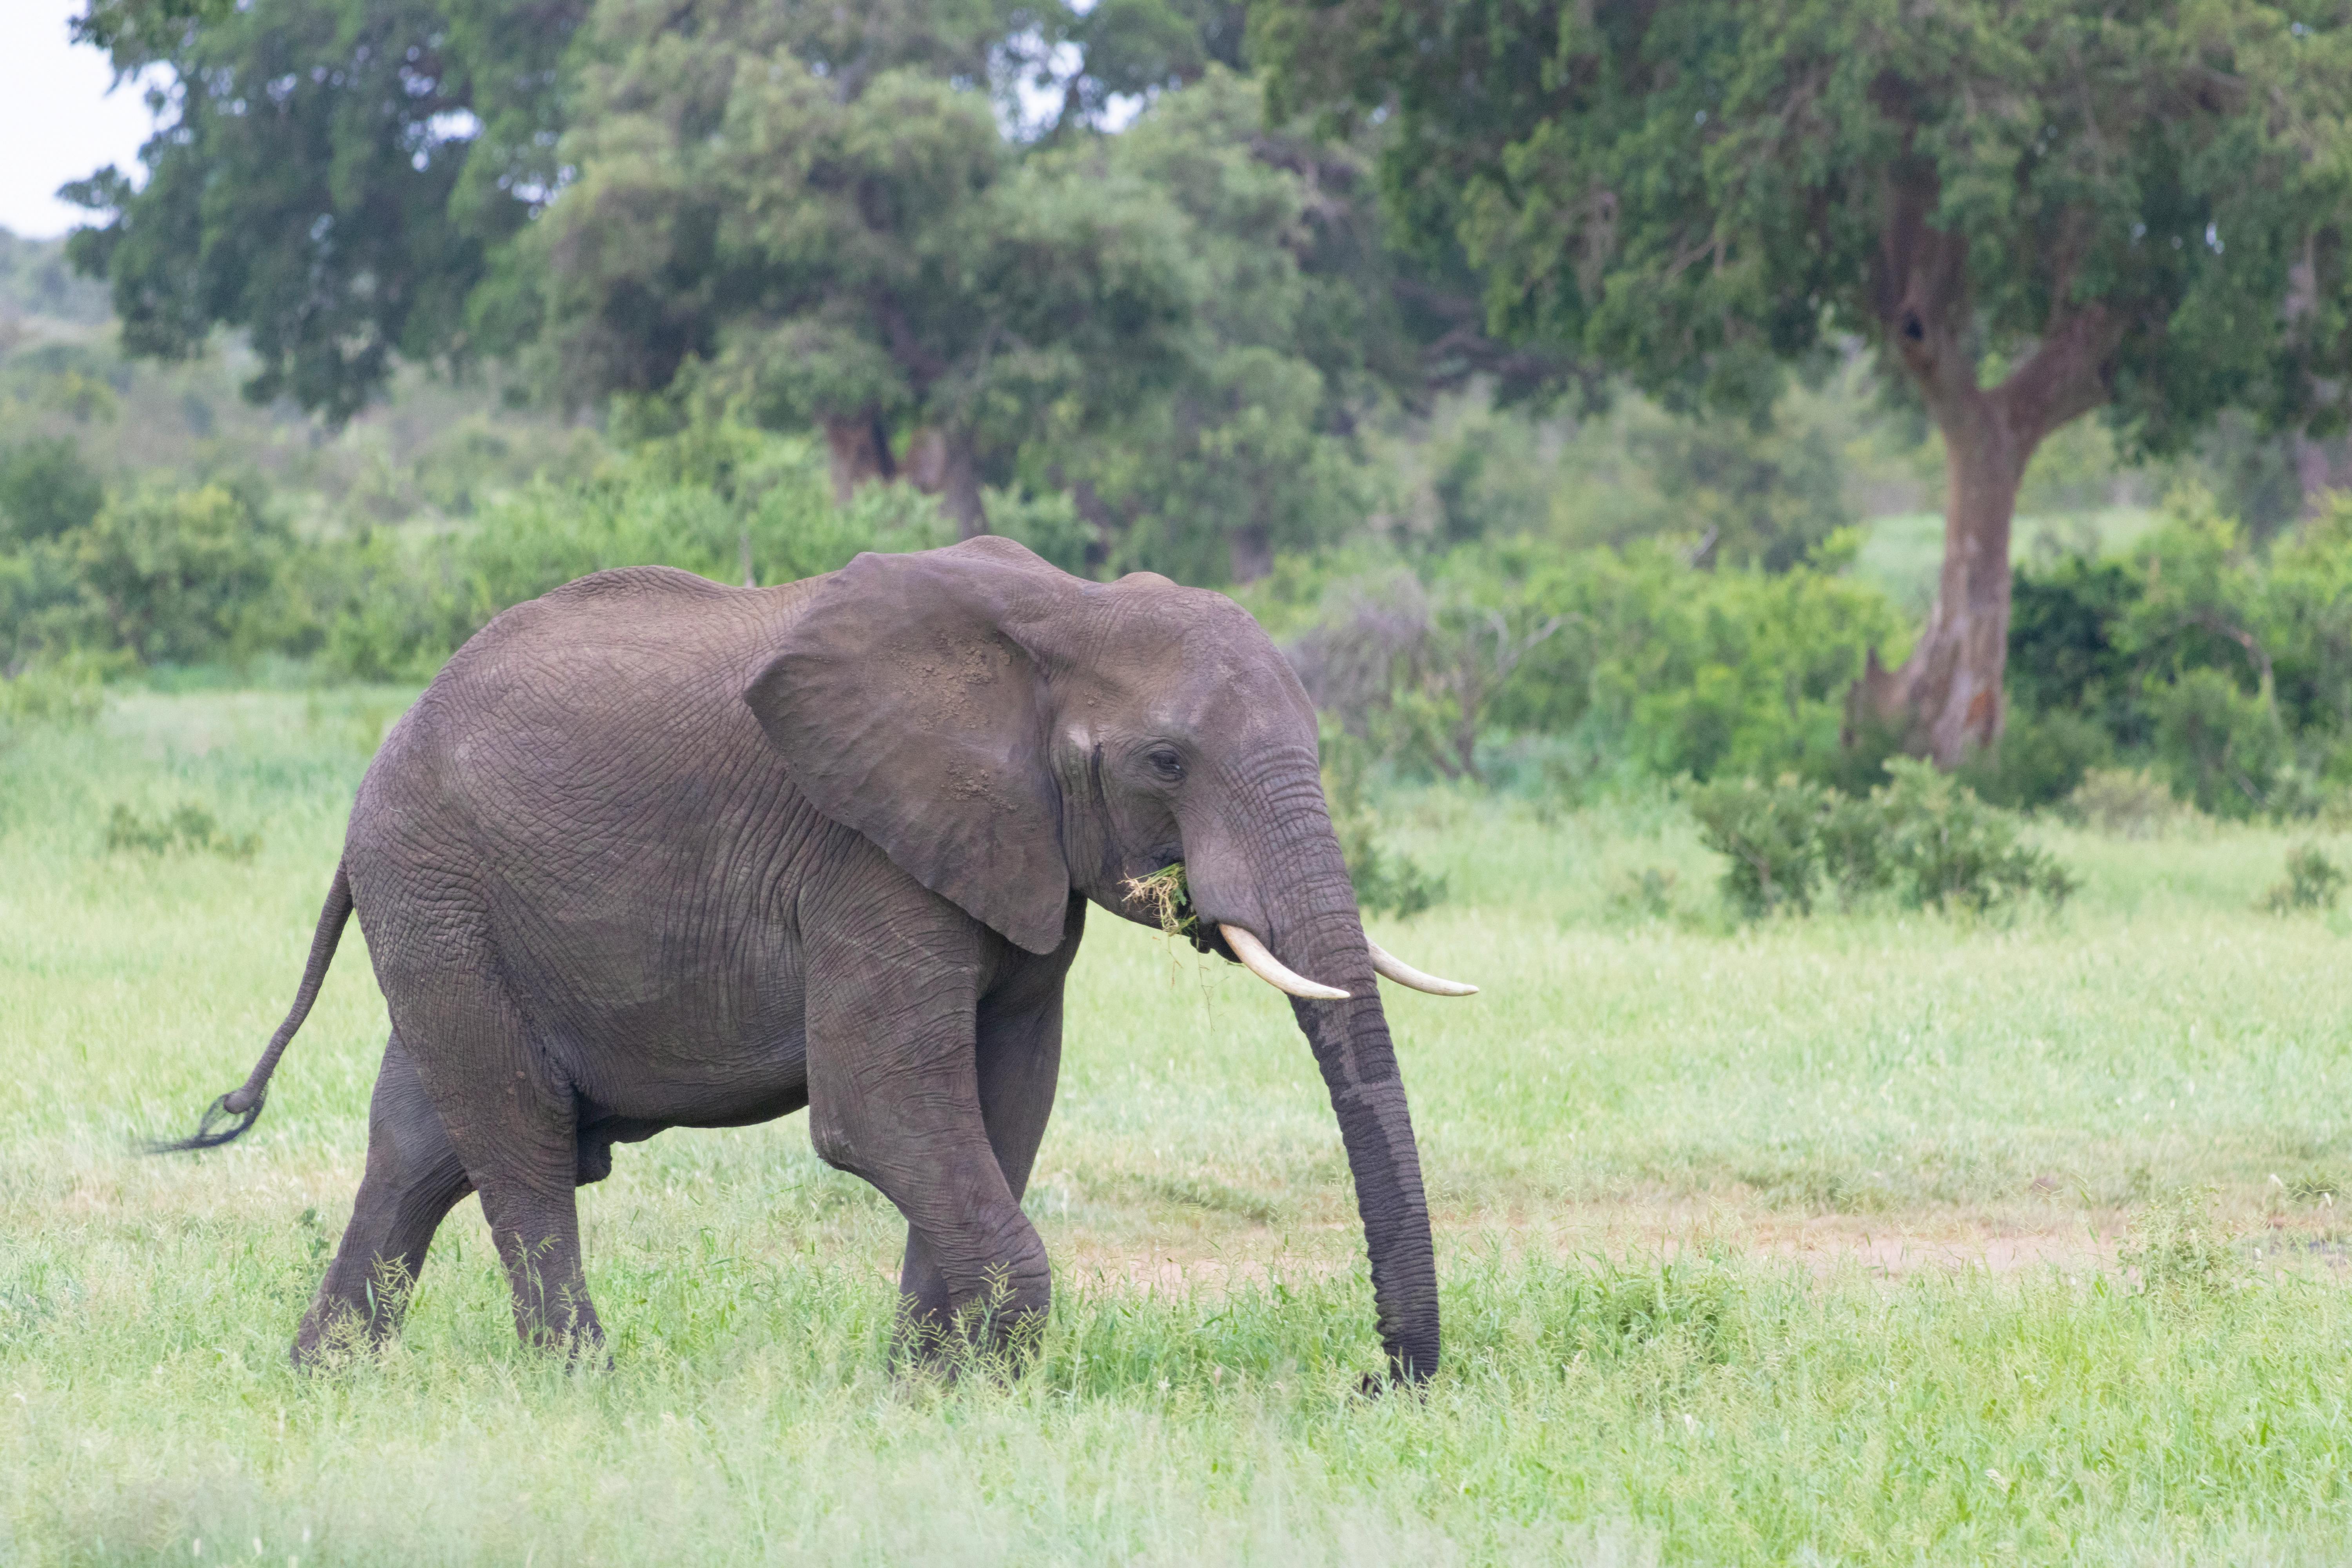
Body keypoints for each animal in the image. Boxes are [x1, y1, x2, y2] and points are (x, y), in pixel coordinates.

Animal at [162, 536, 1474, 1382]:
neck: (1064, 614)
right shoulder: (864, 854)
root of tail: (376, 772)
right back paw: (578, 1386)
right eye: (1165, 762)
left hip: (450, 912)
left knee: (420, 1148)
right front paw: (987, 1379)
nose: (1376, 1380)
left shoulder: (1011, 853)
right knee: (515, 1137)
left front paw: (925, 1385)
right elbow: (881, 1110)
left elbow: (1003, 1103)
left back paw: (324, 1380)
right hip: (435, 887)